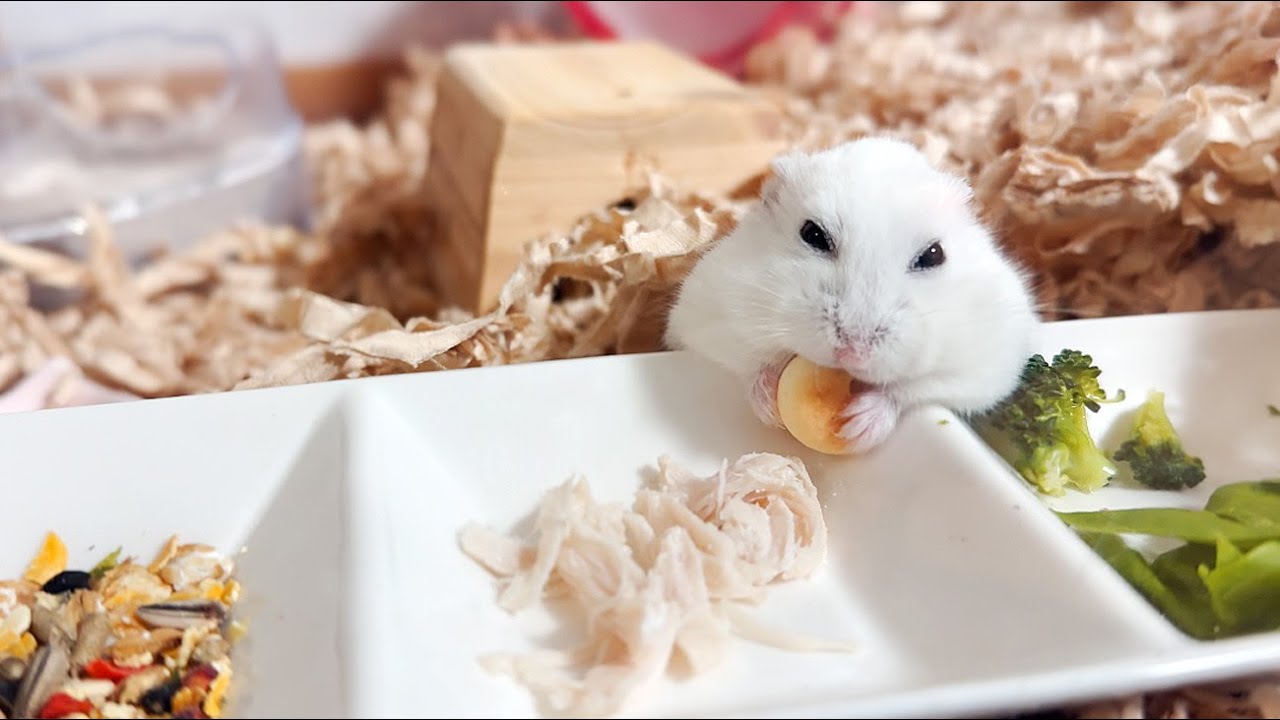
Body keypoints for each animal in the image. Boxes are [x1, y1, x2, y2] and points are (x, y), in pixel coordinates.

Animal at [664, 136, 1040, 453]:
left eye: (934, 254)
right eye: (813, 234)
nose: (852, 353)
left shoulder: (986, 365)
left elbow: (911, 390)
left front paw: (855, 425)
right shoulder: (706, 314)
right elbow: (748, 362)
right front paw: (769, 405)